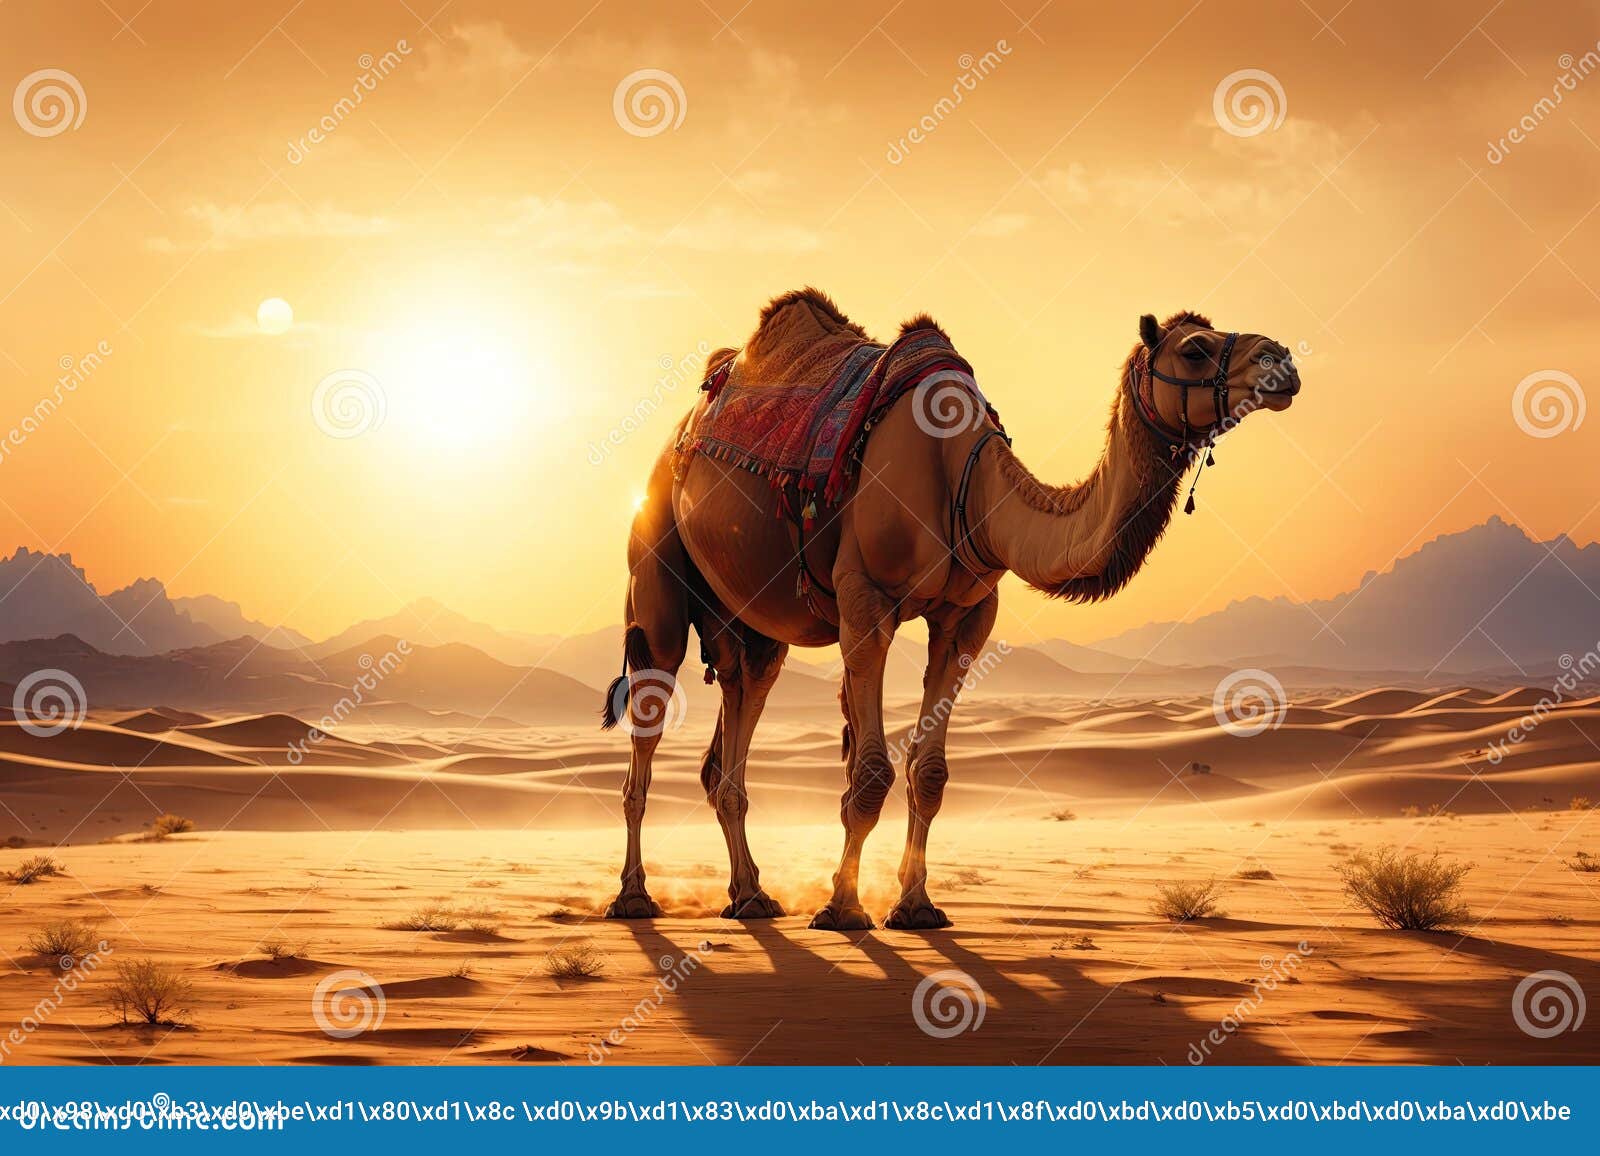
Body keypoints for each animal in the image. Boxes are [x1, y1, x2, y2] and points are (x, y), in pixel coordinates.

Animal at [603, 289, 1300, 930]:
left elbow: (930, 771)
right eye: (1195, 349)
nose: (1283, 361)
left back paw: (749, 895)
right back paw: (634, 898)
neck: (966, 478)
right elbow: (872, 771)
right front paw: (843, 907)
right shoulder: (865, 598)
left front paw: (915, 907)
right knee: (649, 721)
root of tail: (681, 435)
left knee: (736, 713)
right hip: (654, 562)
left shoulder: (967, 616)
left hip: (747, 621)